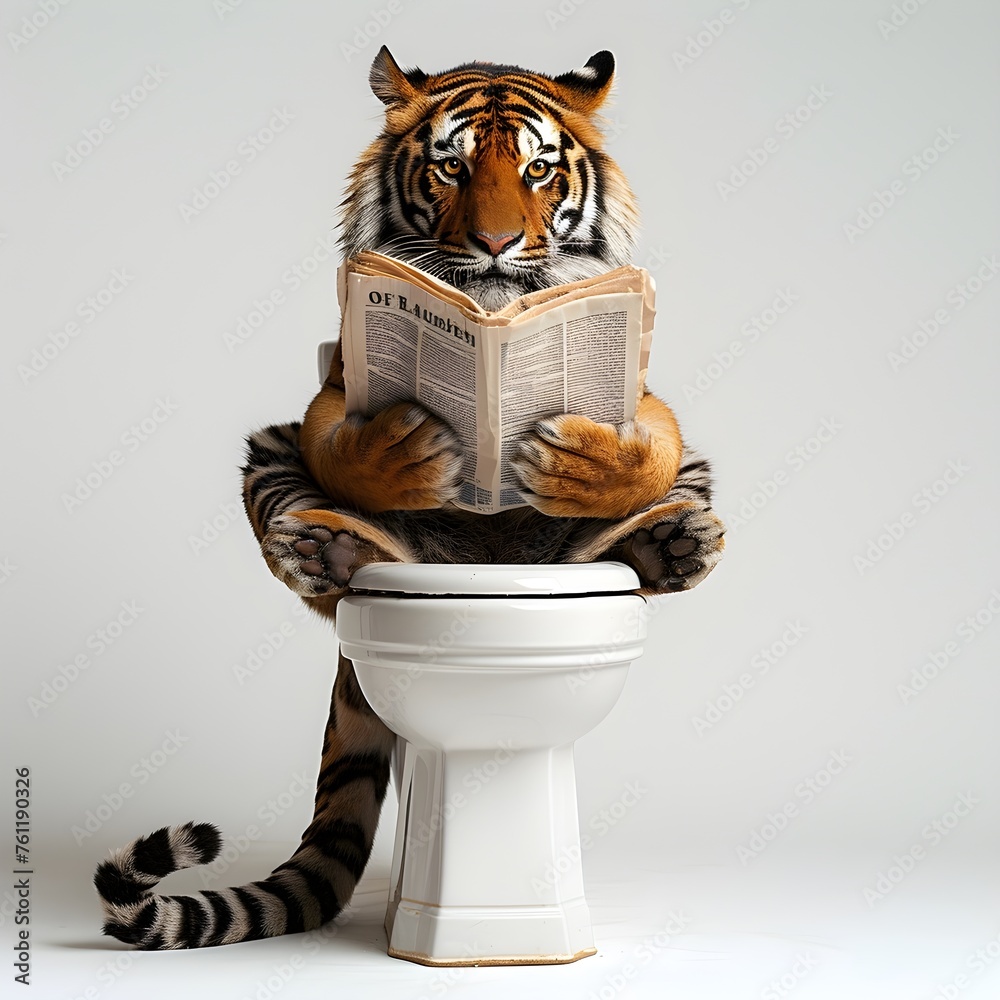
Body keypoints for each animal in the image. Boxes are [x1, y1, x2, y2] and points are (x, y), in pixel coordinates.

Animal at [94, 47, 725, 951]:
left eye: (537, 169)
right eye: (451, 166)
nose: (496, 242)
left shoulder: (642, 391)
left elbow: (647, 450)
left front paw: (575, 461)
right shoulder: (333, 377)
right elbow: (343, 440)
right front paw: (409, 448)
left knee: (644, 533)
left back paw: (673, 544)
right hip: (278, 466)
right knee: (325, 551)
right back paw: (328, 547)